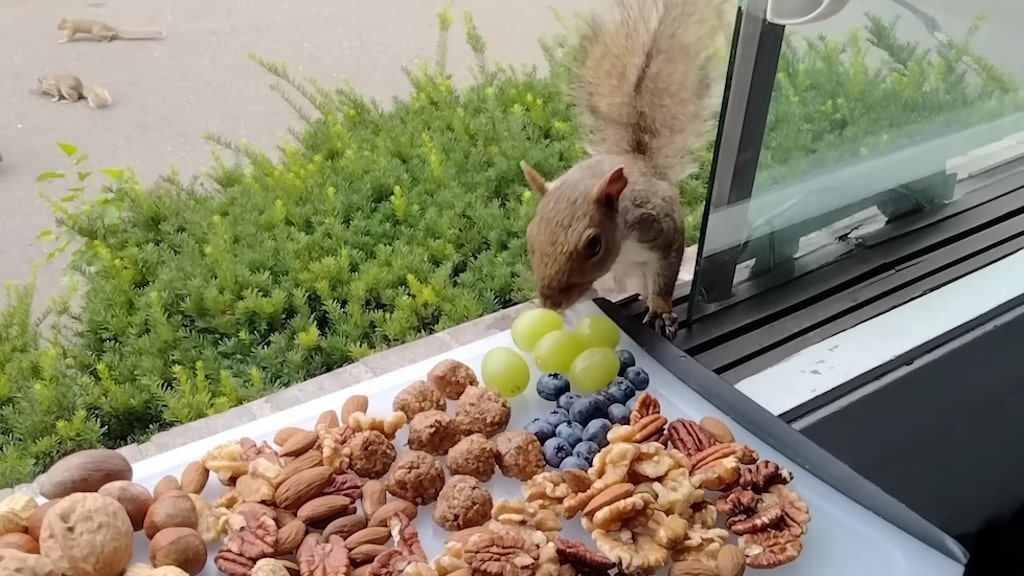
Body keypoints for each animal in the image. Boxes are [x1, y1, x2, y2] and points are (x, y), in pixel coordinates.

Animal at [519, 0, 733, 339]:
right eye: (531, 235)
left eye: (594, 245)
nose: (551, 304)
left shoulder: (660, 225)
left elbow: (666, 275)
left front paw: (660, 311)